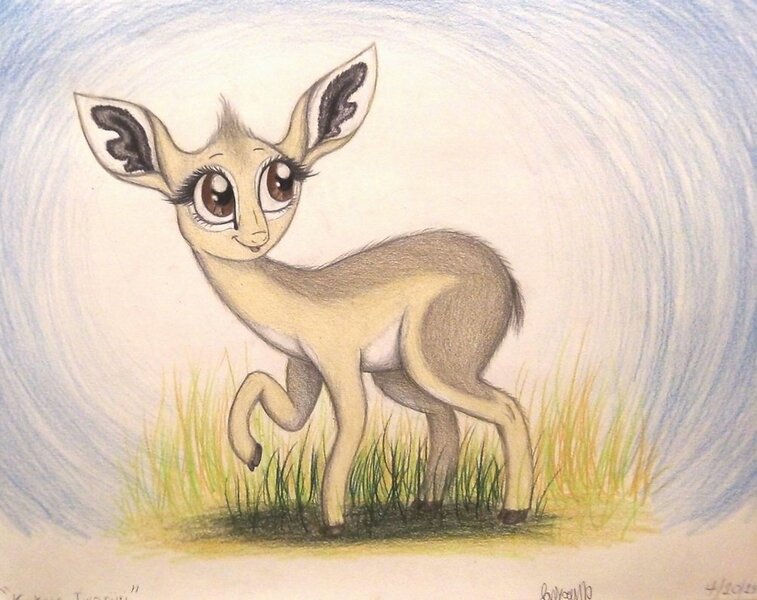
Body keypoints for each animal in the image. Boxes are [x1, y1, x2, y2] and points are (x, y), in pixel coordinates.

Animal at [75, 46, 533, 535]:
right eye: (215, 195)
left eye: (281, 182)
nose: (255, 237)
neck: (295, 298)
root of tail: (505, 276)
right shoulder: (303, 366)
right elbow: (276, 401)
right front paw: (252, 453)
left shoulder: (337, 361)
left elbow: (350, 426)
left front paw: (332, 523)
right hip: (397, 374)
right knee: (445, 417)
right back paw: (425, 505)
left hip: (435, 362)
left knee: (507, 409)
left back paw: (512, 512)